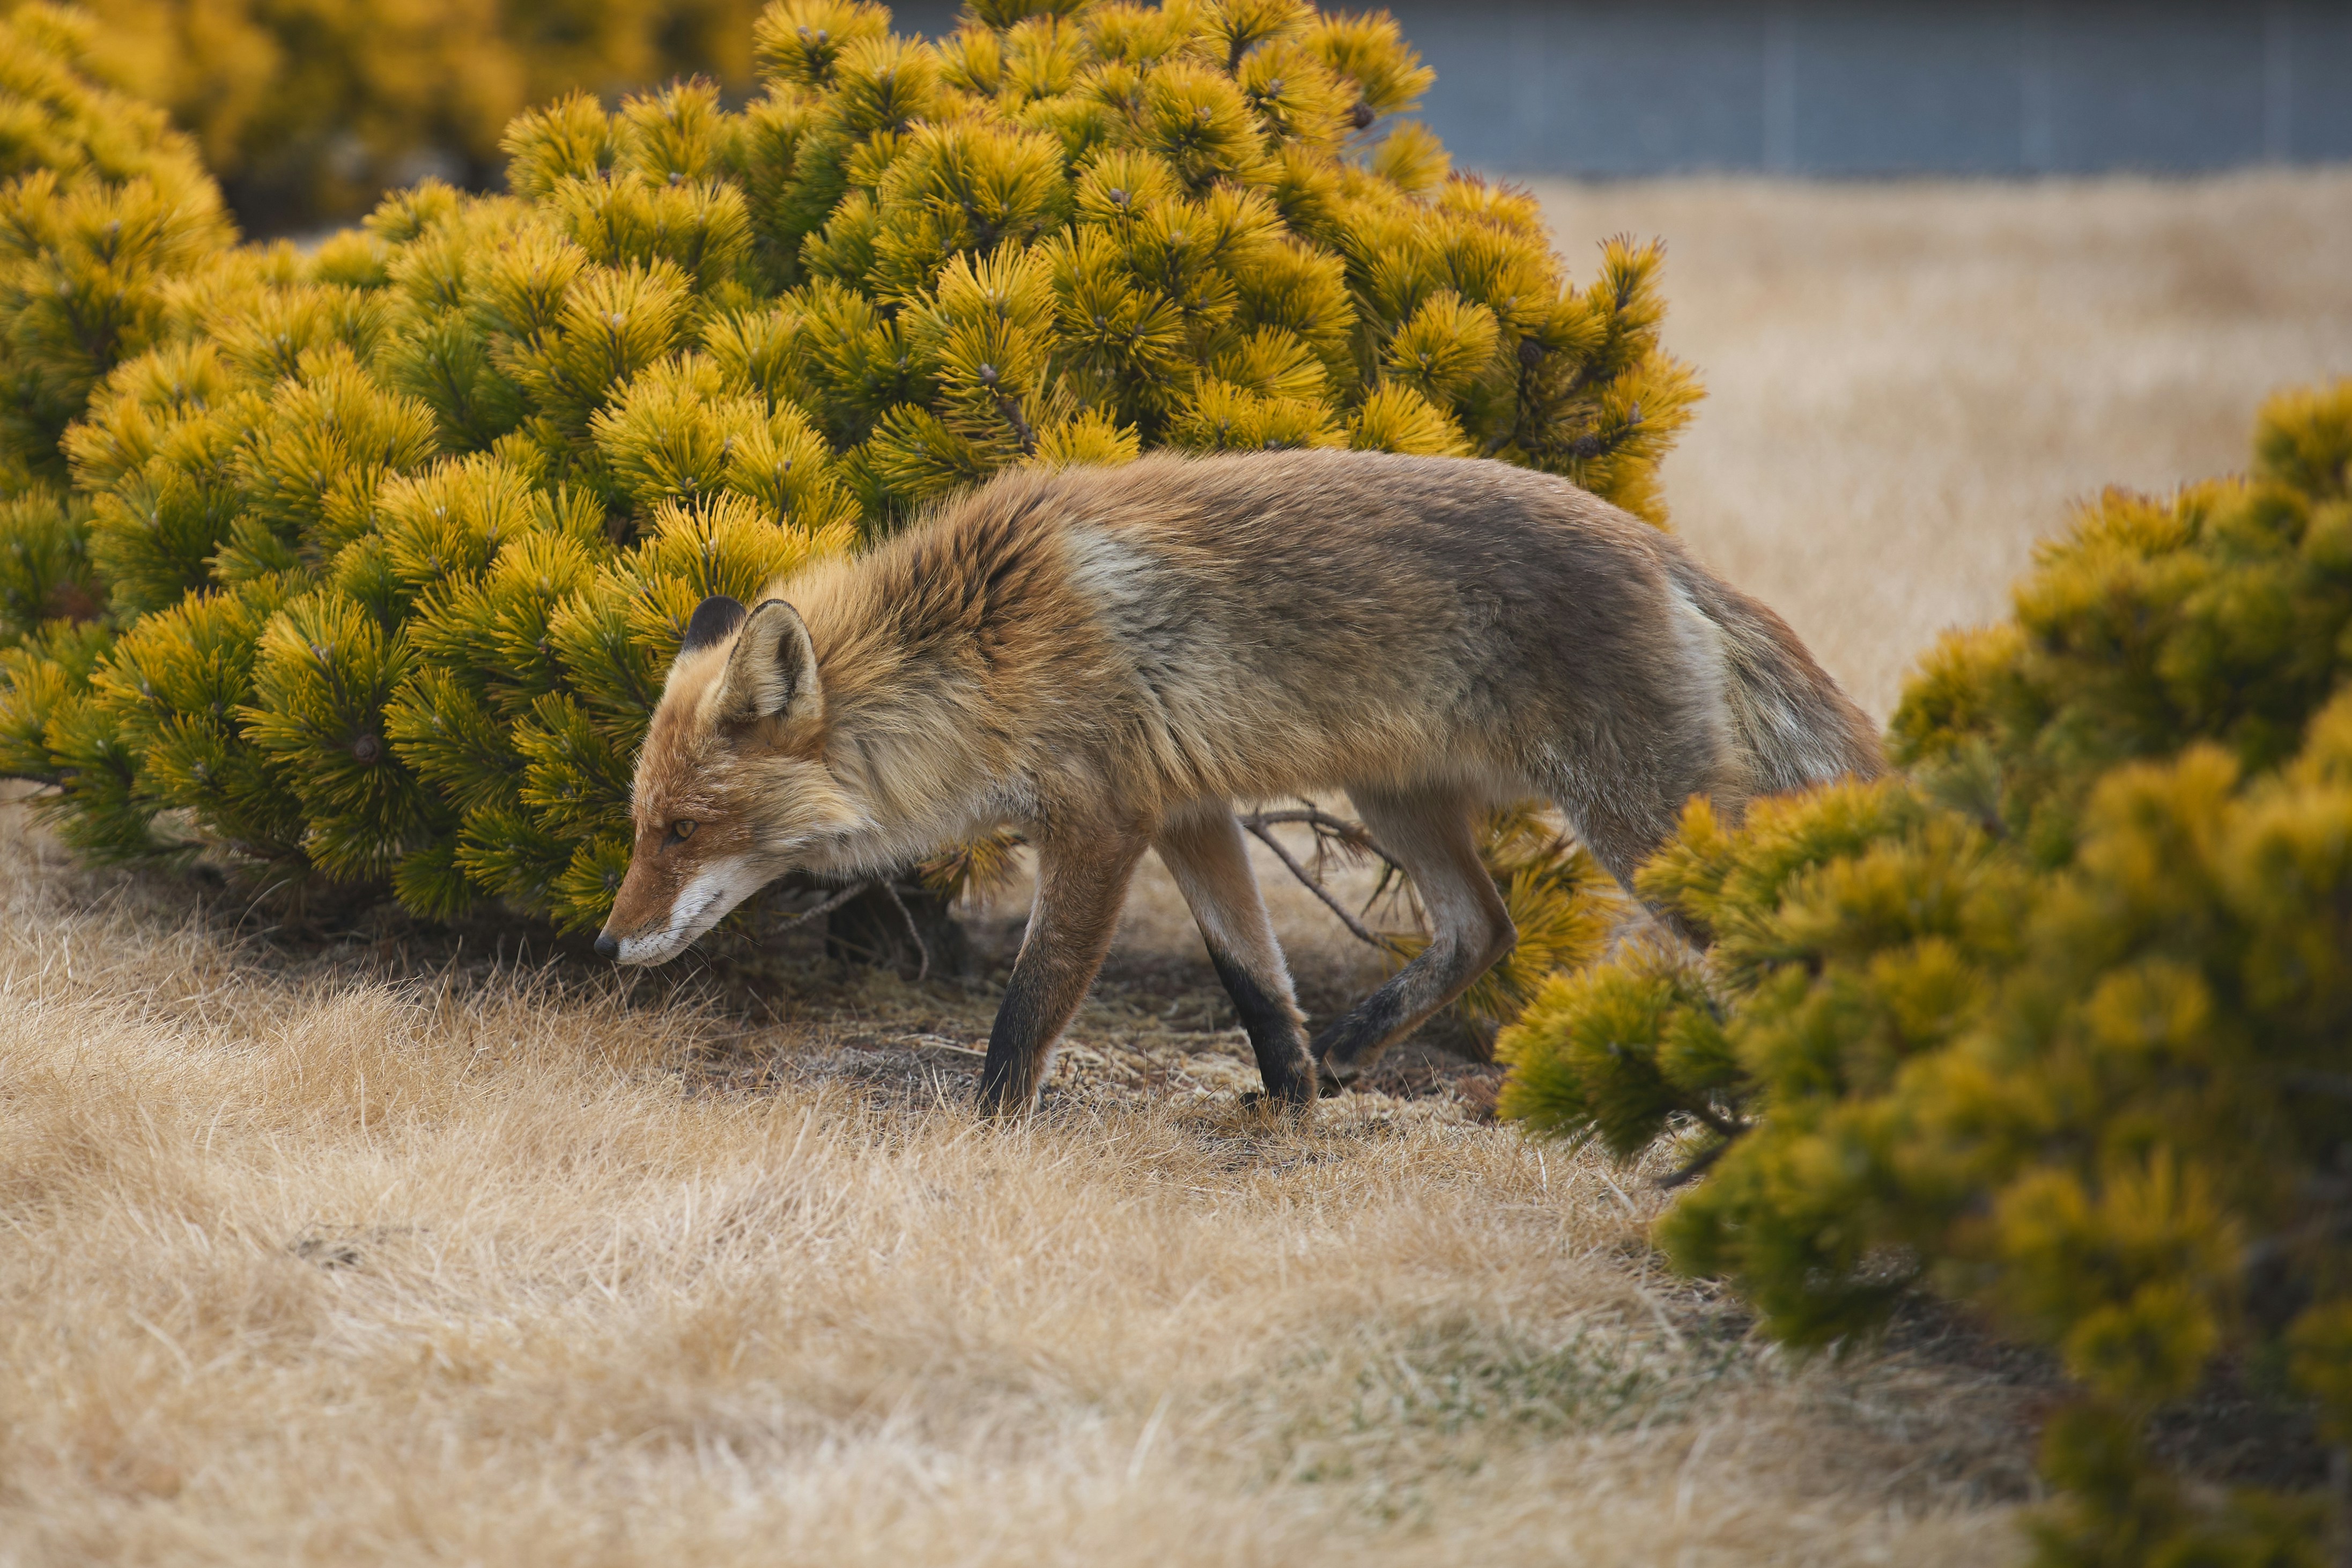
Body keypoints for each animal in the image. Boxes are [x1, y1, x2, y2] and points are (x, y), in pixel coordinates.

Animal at [593, 449, 1881, 1112]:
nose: (607, 946)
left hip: (1642, 825)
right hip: (1397, 796)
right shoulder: (1191, 811)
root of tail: (1661, 545)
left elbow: (1029, 1005)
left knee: (1769, 930)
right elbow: (1253, 977)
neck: (985, 645)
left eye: (683, 829)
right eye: (642, 825)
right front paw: (1294, 1091)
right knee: (1487, 927)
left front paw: (987, 1127)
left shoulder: (1104, 818)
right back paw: (1356, 1047)